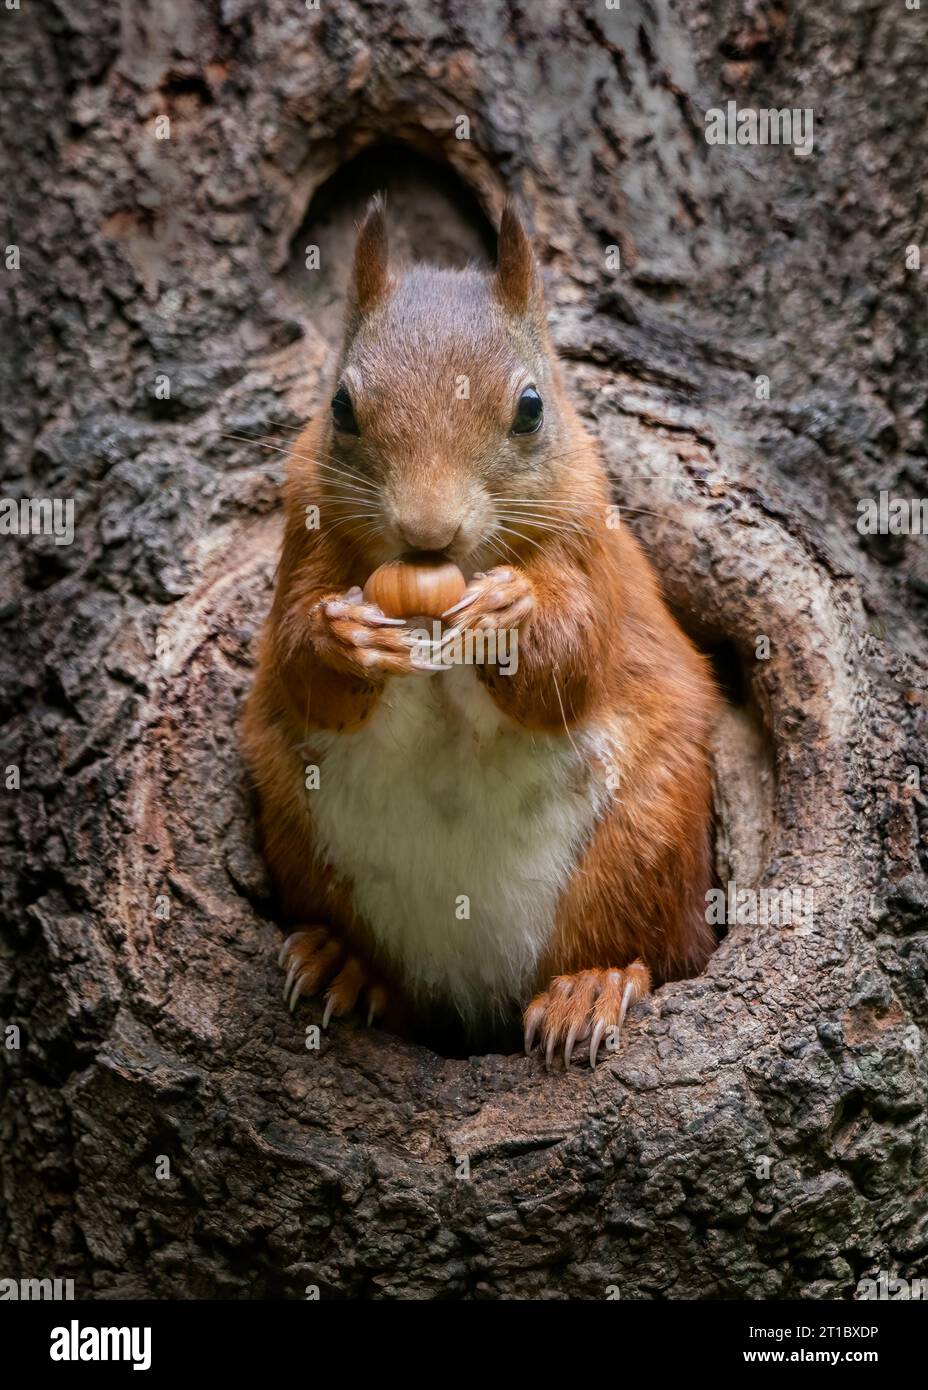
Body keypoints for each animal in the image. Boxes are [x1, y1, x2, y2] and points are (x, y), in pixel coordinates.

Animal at [242, 196, 719, 1067]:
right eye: (341, 408)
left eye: (531, 409)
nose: (428, 531)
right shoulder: (304, 529)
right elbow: (295, 659)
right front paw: (343, 639)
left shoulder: (587, 539)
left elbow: (573, 659)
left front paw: (509, 617)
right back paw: (344, 964)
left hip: (647, 842)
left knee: (655, 951)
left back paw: (592, 986)